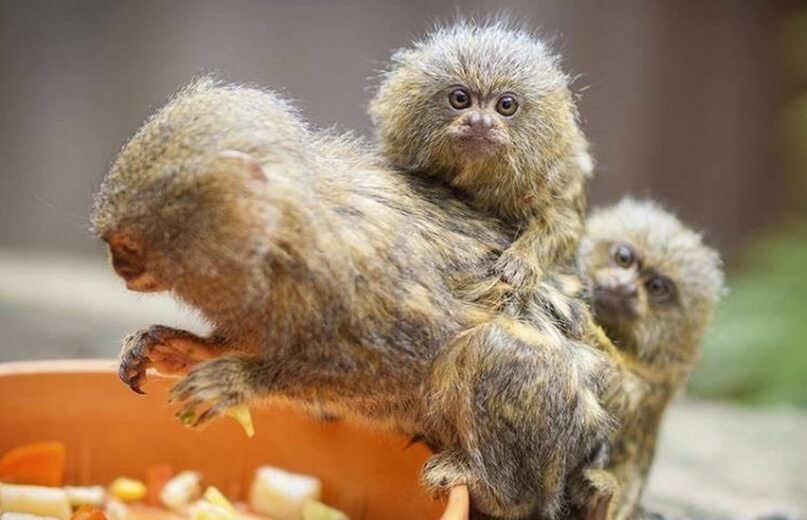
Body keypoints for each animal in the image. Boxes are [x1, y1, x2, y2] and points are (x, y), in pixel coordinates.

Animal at [91, 79, 617, 519]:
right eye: (114, 245)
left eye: (128, 246)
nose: (119, 265)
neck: (282, 240)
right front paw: (174, 347)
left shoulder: (359, 266)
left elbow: (413, 361)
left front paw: (242, 379)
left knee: (495, 350)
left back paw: (494, 489)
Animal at [369, 21, 593, 304]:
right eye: (460, 99)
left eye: (506, 105)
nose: (480, 123)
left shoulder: (558, 176)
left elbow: (563, 225)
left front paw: (522, 260)